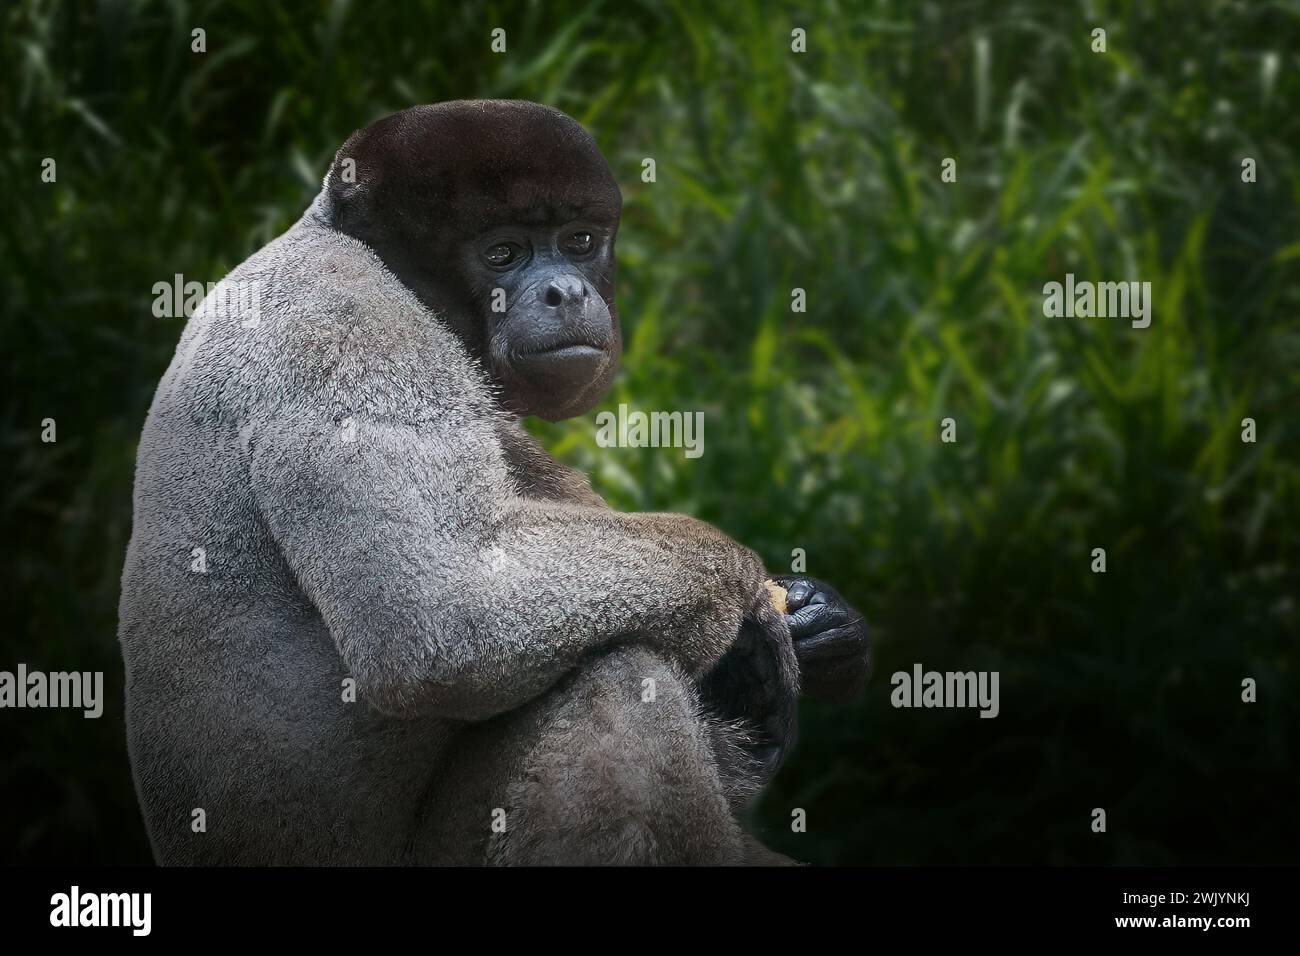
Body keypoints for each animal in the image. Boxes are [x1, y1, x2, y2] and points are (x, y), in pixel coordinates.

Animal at [118, 100, 870, 865]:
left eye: (580, 241)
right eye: (503, 253)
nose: (567, 290)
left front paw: (821, 622)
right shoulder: (351, 330)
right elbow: (443, 606)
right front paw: (748, 605)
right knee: (619, 678)